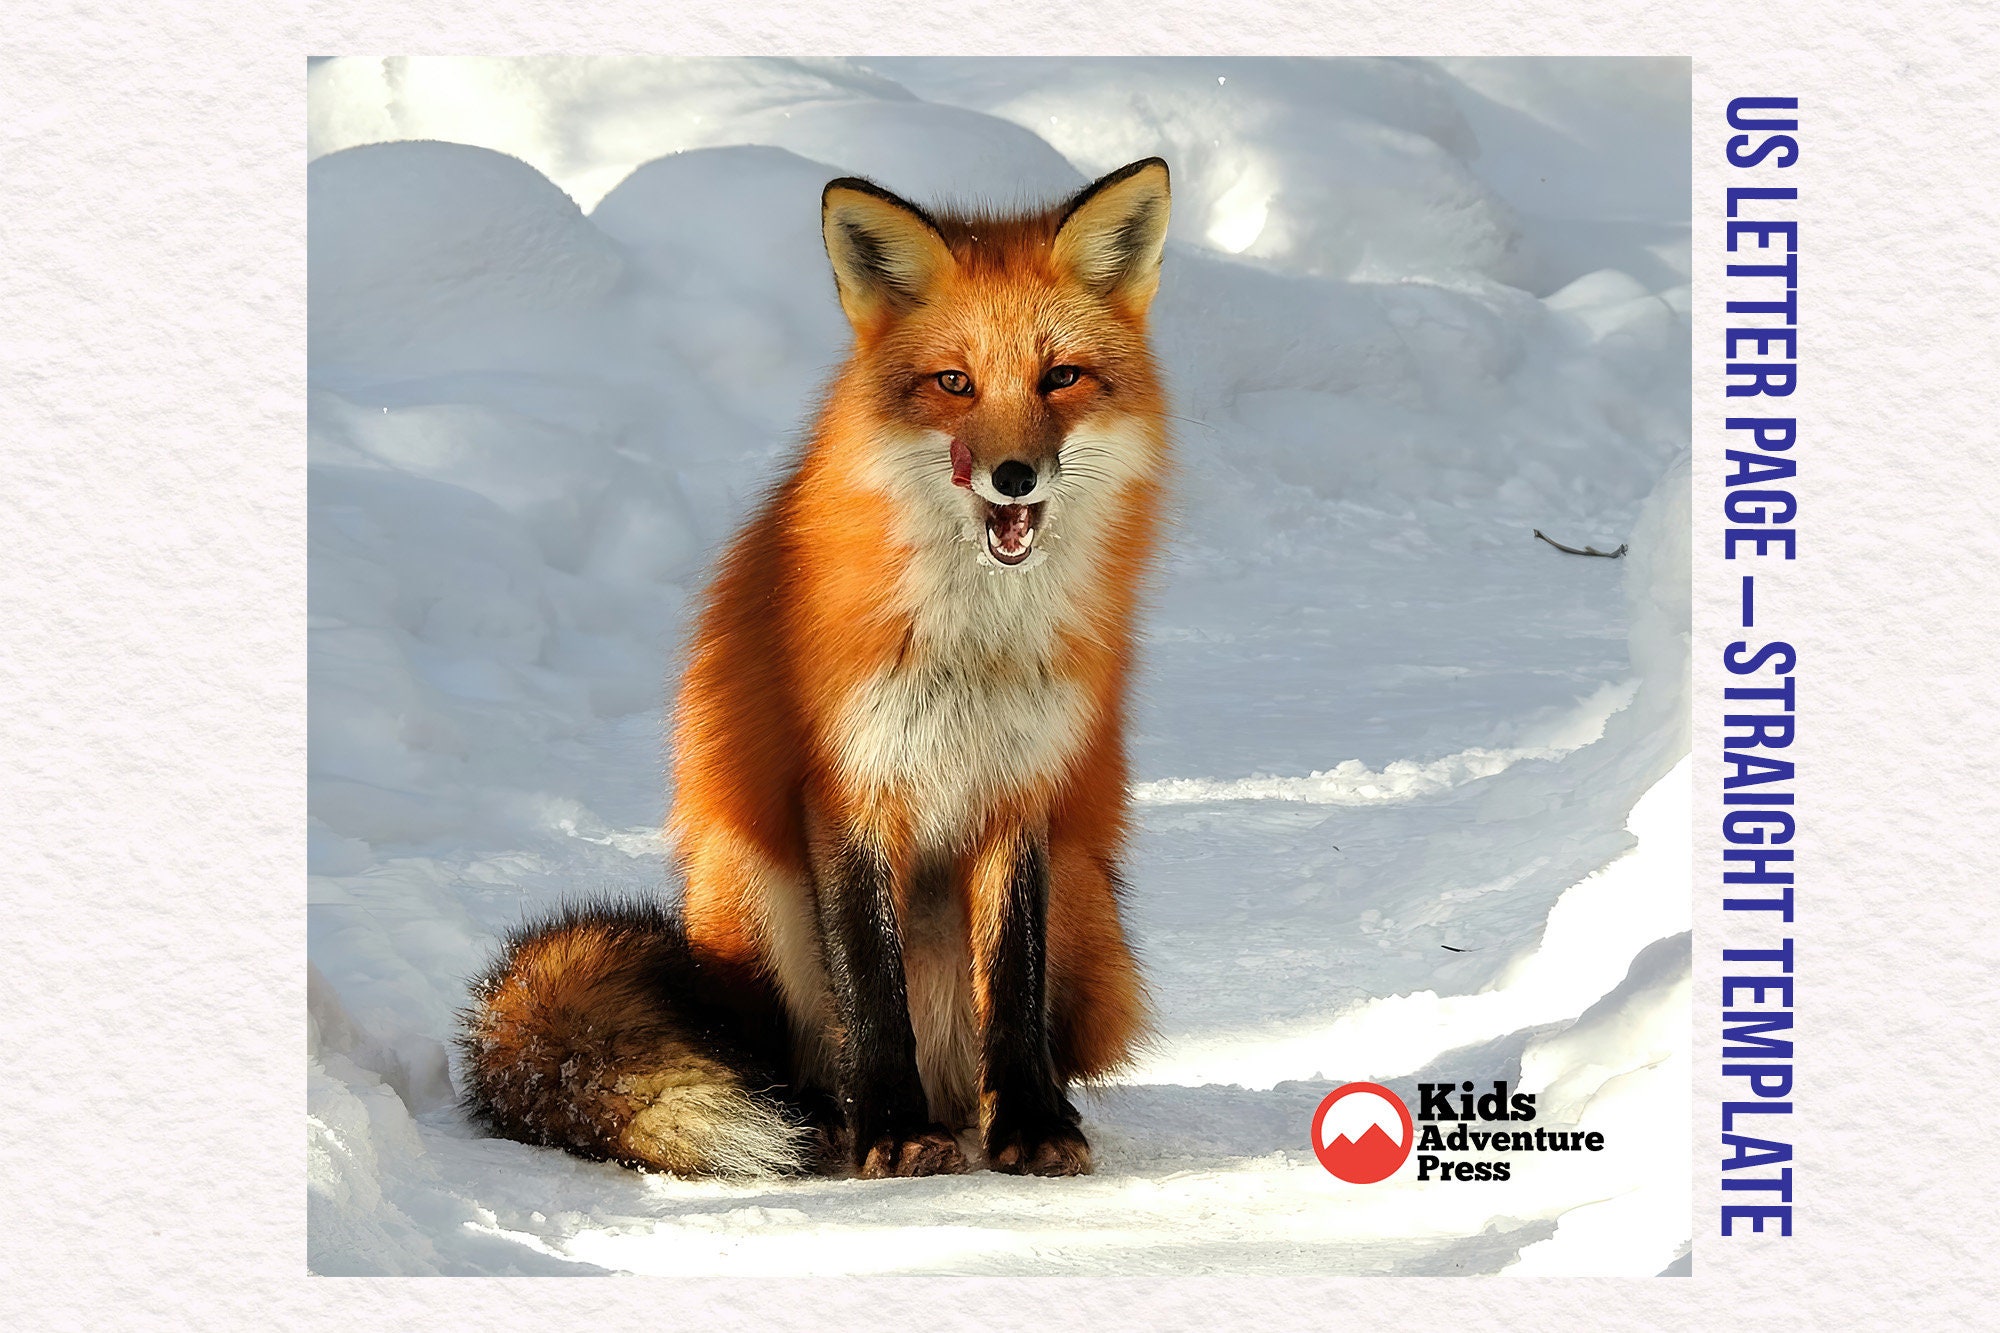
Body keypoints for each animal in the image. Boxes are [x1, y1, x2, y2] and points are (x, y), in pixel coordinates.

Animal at [457, 157, 1174, 1180]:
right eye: (954, 382)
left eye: (1062, 377)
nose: (1013, 475)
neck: (973, 644)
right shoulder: (848, 781)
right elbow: (871, 986)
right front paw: (892, 1129)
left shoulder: (1021, 788)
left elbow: (1013, 980)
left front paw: (1031, 1122)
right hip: (755, 884)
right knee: (789, 1055)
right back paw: (829, 1118)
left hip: (1084, 896)